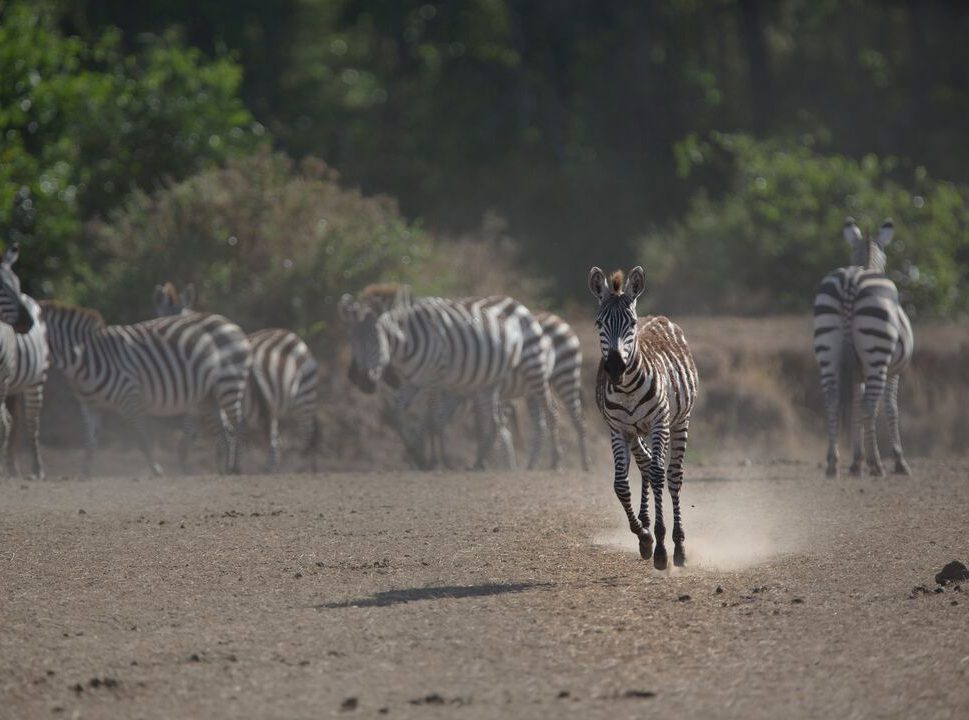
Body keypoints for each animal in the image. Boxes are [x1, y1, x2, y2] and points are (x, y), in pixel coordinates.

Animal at [40, 301, 245, 476]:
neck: (85, 357)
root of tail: (227, 321)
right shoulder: (90, 406)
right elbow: (89, 442)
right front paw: (84, 474)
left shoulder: (130, 398)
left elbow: (142, 438)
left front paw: (156, 470)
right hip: (209, 396)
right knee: (224, 430)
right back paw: (223, 468)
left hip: (228, 384)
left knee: (237, 425)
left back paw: (235, 467)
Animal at [154, 283, 321, 472]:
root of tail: (294, 336)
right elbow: (192, 432)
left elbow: (219, 431)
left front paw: (225, 465)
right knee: (278, 439)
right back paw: (270, 469)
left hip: (304, 397)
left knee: (308, 432)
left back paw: (309, 469)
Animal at [352, 285, 588, 470]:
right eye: (351, 339)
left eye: (376, 340)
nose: (360, 380)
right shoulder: (434, 386)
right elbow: (405, 417)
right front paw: (423, 454)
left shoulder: (441, 382)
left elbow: (435, 420)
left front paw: (437, 460)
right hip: (527, 388)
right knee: (537, 422)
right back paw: (529, 464)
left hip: (556, 374)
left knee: (565, 415)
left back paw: (569, 462)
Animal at [589, 266, 699, 570]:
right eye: (598, 323)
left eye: (632, 323)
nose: (615, 367)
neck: (626, 388)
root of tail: (660, 317)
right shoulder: (618, 429)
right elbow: (621, 484)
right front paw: (645, 536)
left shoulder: (660, 423)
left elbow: (659, 474)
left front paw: (661, 547)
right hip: (638, 432)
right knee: (646, 465)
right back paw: (647, 526)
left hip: (678, 421)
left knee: (671, 475)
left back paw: (679, 546)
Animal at [813, 218, 913, 477]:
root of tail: (851, 281)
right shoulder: (895, 371)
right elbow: (890, 409)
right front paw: (899, 460)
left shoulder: (856, 372)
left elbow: (856, 407)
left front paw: (856, 462)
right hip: (878, 355)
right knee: (871, 405)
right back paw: (877, 464)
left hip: (827, 349)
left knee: (831, 400)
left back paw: (833, 462)